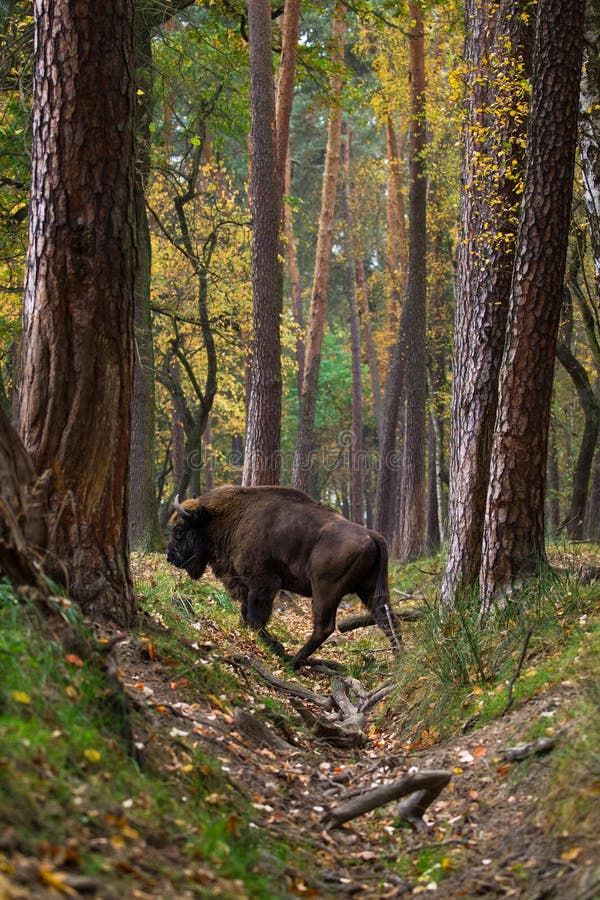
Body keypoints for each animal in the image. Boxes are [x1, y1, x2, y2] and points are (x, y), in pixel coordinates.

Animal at [167, 485, 401, 668]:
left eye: (179, 530)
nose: (170, 557)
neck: (230, 518)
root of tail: (371, 534)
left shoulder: (263, 583)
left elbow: (255, 618)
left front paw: (275, 646)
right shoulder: (247, 584)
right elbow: (246, 613)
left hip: (325, 591)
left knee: (324, 626)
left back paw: (293, 661)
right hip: (369, 589)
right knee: (387, 620)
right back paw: (400, 661)